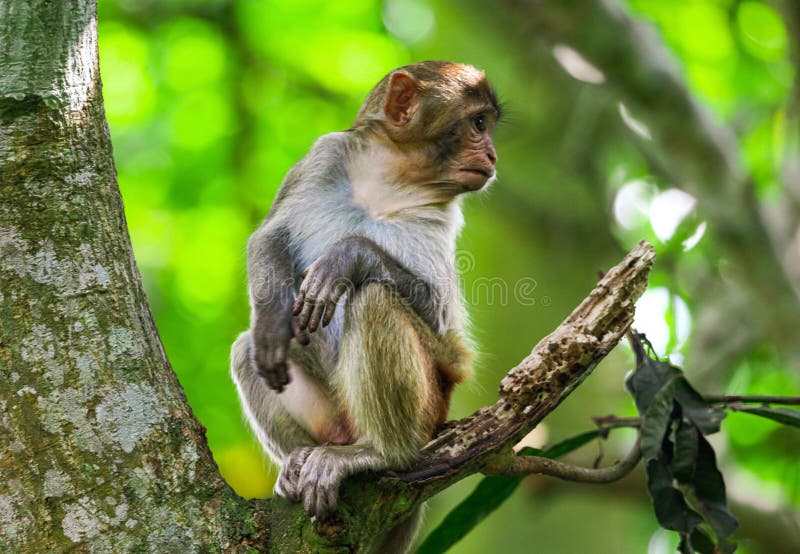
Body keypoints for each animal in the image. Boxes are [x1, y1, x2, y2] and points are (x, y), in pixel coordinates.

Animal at [230, 61, 499, 552]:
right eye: (478, 123)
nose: (492, 155)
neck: (389, 181)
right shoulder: (325, 155)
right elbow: (268, 237)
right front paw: (272, 324)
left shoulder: (441, 219)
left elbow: (439, 319)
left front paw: (349, 257)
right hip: (333, 415)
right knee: (247, 351)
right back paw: (297, 457)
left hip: (428, 409)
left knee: (374, 298)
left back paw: (378, 453)